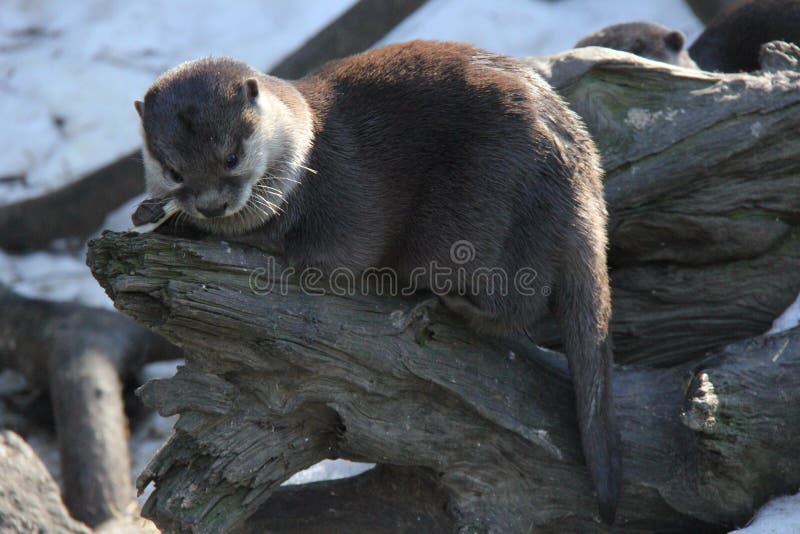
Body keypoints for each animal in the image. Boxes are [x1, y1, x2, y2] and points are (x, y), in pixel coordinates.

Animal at [134, 40, 621, 522]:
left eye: (231, 157)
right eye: (175, 171)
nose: (212, 205)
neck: (301, 154)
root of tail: (578, 170)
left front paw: (184, 225)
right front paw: (153, 212)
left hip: (484, 206)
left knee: (521, 302)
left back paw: (449, 303)